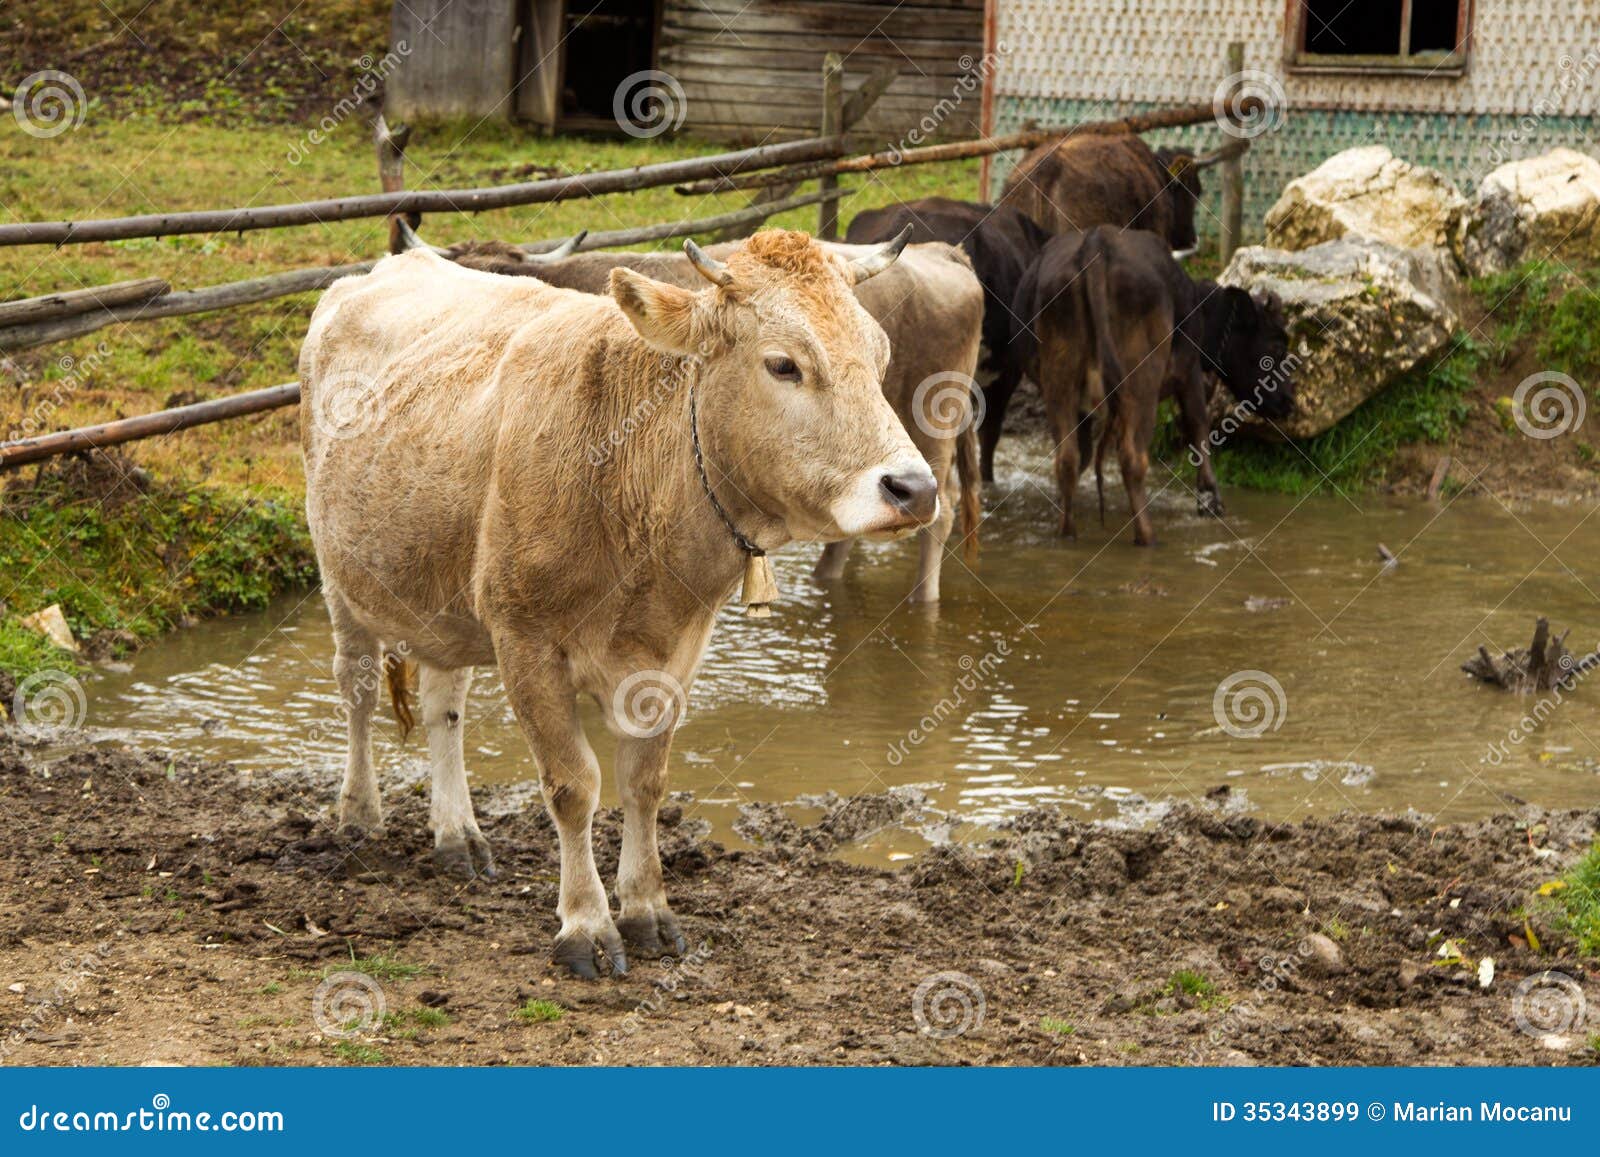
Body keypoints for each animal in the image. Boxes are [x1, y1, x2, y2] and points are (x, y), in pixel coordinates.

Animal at [1010, 226, 1293, 545]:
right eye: (1277, 346)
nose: (1290, 399)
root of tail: (1097, 243)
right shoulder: (1189, 372)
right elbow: (1198, 424)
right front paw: (1210, 501)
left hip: (1060, 380)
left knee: (1067, 459)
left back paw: (1067, 532)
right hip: (1141, 381)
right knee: (1132, 457)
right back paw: (1147, 536)